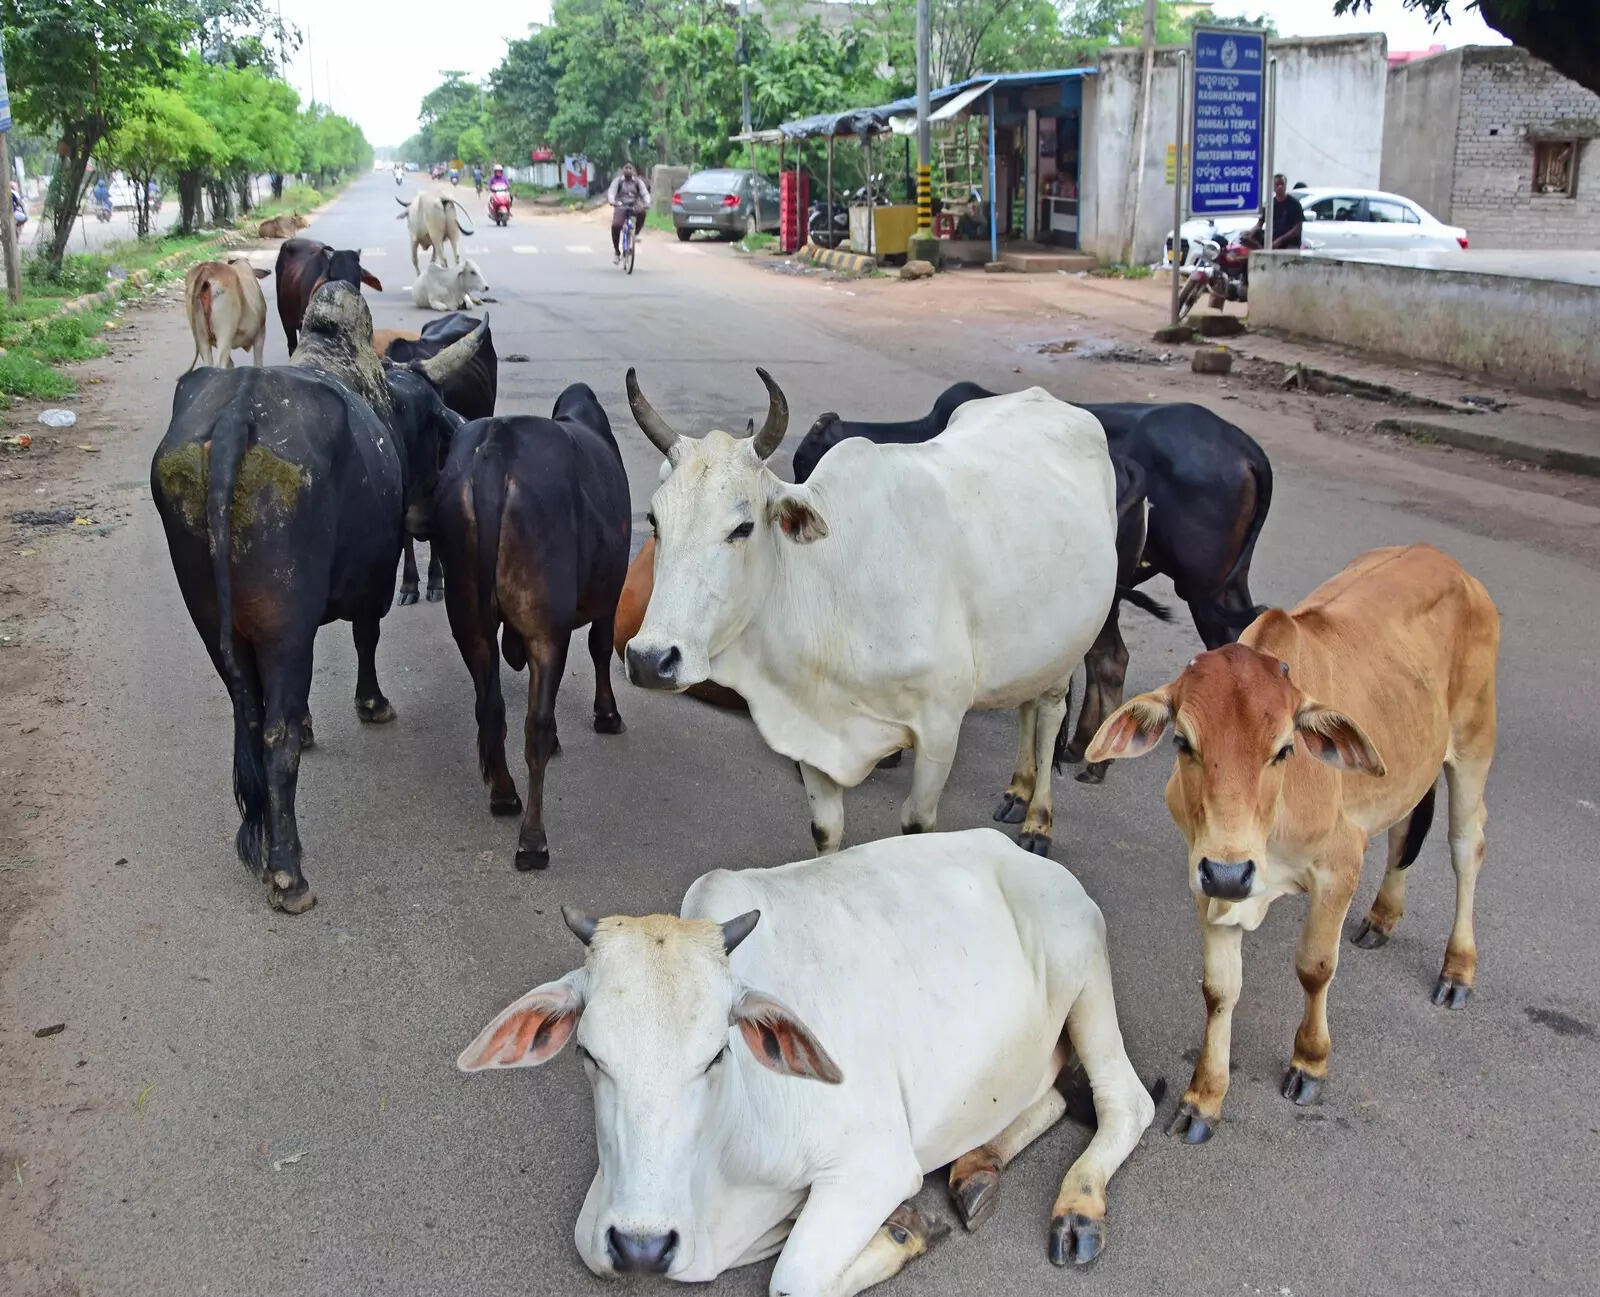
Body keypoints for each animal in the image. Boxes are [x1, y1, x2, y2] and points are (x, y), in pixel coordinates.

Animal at [151, 282, 485, 913]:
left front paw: (313, 721)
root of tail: (235, 417)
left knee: (250, 719)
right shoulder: (374, 575)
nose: (425, 515)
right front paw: (371, 703)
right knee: (273, 737)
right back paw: (288, 873)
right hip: (284, 626)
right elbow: (366, 637)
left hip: (212, 620)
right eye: (433, 430)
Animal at [432, 385, 631, 873]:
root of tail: (495, 452)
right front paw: (607, 715)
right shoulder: (610, 592)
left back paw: (504, 794)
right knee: (534, 726)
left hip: (468, 620)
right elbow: (601, 647)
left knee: (491, 707)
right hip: (546, 631)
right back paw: (533, 841)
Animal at [458, 829, 1159, 1285]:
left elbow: (792, 1279)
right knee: (1053, 1094)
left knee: (1125, 1101)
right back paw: (976, 1169)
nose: (641, 1247)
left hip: (1086, 973)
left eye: (717, 1055)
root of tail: (1021, 854)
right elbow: (589, 1242)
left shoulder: (873, 1165)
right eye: (589, 1054)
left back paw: (1075, 1207)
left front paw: (903, 1232)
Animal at [622, 371, 1118, 859]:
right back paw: (1017, 791)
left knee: (1049, 712)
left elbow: (916, 826)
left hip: (1070, 643)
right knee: (1026, 704)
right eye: (654, 521)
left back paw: (1038, 820)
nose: (650, 659)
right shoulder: (812, 736)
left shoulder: (940, 728)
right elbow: (826, 831)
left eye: (742, 528)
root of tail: (1048, 400)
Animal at [1085, 543, 1499, 1143]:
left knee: (1467, 846)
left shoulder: (1338, 866)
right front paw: (1204, 1098)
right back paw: (1382, 918)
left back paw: (1457, 969)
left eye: (1284, 749)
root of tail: (1446, 562)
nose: (1230, 872)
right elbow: (1219, 988)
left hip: (1473, 744)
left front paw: (1309, 1062)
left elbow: (1314, 967)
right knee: (1404, 831)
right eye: (1183, 742)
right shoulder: (1208, 874)